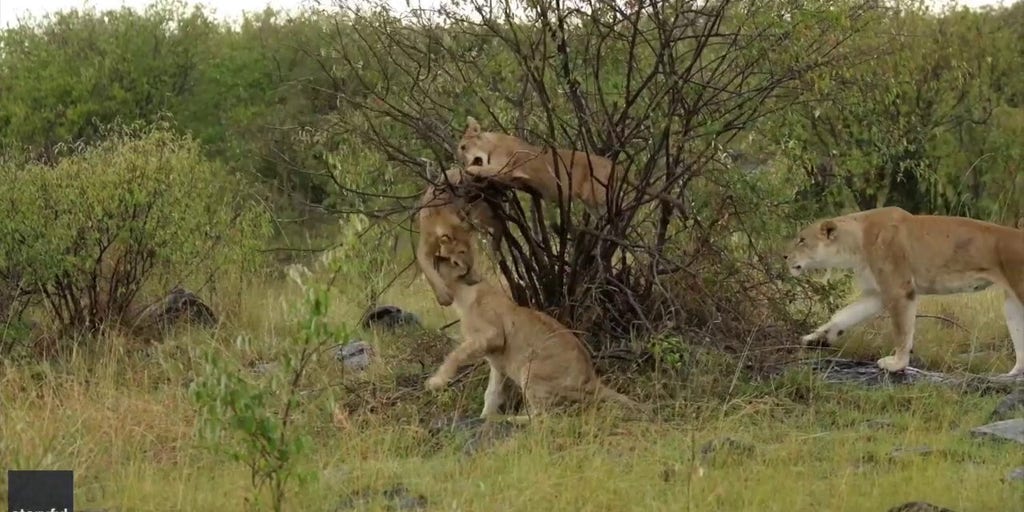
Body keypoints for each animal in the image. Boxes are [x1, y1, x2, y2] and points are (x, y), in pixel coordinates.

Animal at [416, 167, 504, 306]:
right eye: (461, 251)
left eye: (465, 251)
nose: (467, 267)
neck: (440, 219)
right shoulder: (425, 247)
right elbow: (428, 272)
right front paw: (443, 296)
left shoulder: (469, 234)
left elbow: (475, 252)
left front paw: (474, 275)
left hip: (480, 208)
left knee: (498, 221)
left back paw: (495, 243)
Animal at [423, 256, 646, 420]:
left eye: (448, 260)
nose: (435, 257)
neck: (462, 293)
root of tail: (593, 380)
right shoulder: (498, 365)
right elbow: (492, 393)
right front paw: (485, 416)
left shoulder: (494, 335)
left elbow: (455, 354)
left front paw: (436, 381)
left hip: (531, 370)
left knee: (543, 417)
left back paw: (514, 419)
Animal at [784, 206, 1024, 377]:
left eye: (802, 240)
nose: (784, 256)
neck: (856, 243)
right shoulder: (876, 294)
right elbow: (843, 315)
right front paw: (817, 339)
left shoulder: (899, 289)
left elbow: (902, 331)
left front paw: (896, 364)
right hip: (1011, 305)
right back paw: (1011, 375)